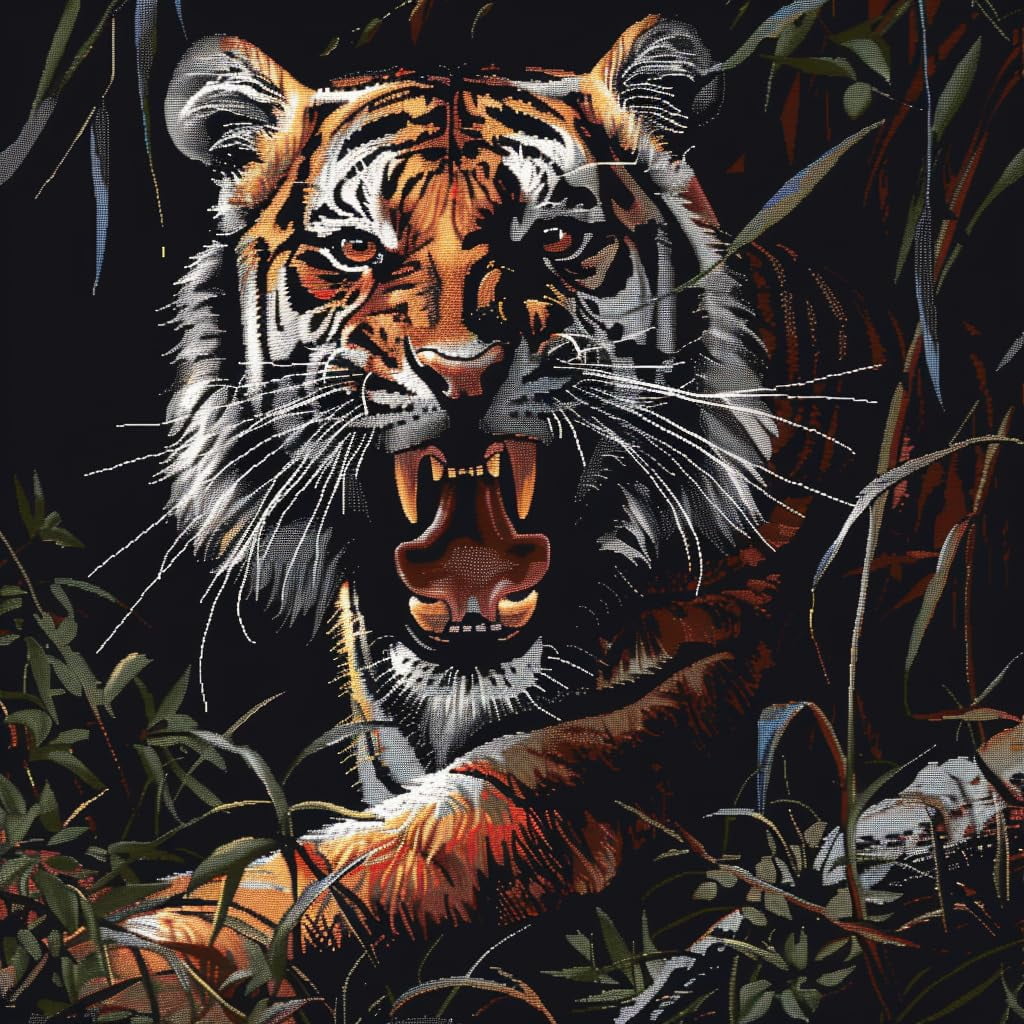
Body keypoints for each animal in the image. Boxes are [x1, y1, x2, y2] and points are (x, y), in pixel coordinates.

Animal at [93, 15, 884, 1019]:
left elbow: (344, 873)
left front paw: (95, 962)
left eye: (556, 237)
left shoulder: (643, 734)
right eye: (357, 251)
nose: (462, 369)